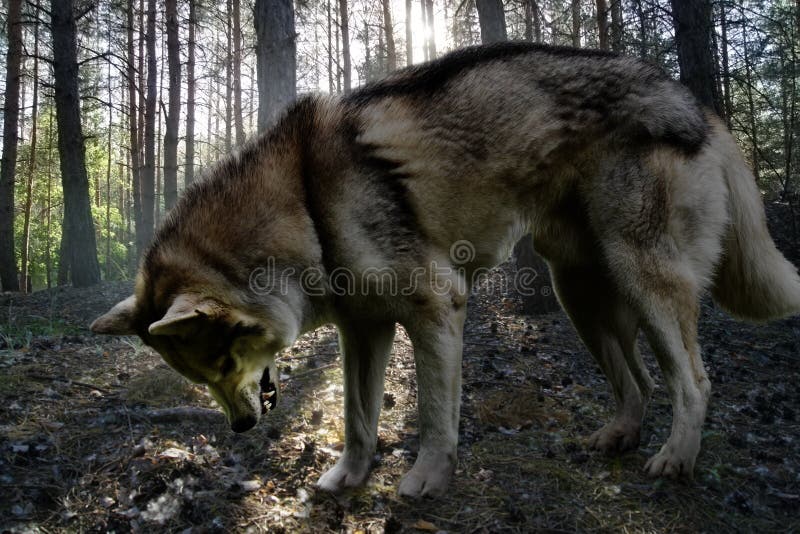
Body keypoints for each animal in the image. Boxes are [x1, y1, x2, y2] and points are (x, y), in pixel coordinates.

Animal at [91, 42, 800, 498]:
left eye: (221, 361)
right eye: (200, 376)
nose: (240, 428)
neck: (305, 204)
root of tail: (695, 102)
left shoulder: (436, 311)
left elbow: (434, 414)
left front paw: (428, 480)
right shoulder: (363, 331)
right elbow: (358, 417)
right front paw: (349, 480)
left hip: (643, 279)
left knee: (694, 382)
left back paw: (675, 459)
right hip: (579, 293)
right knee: (641, 383)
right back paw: (620, 438)